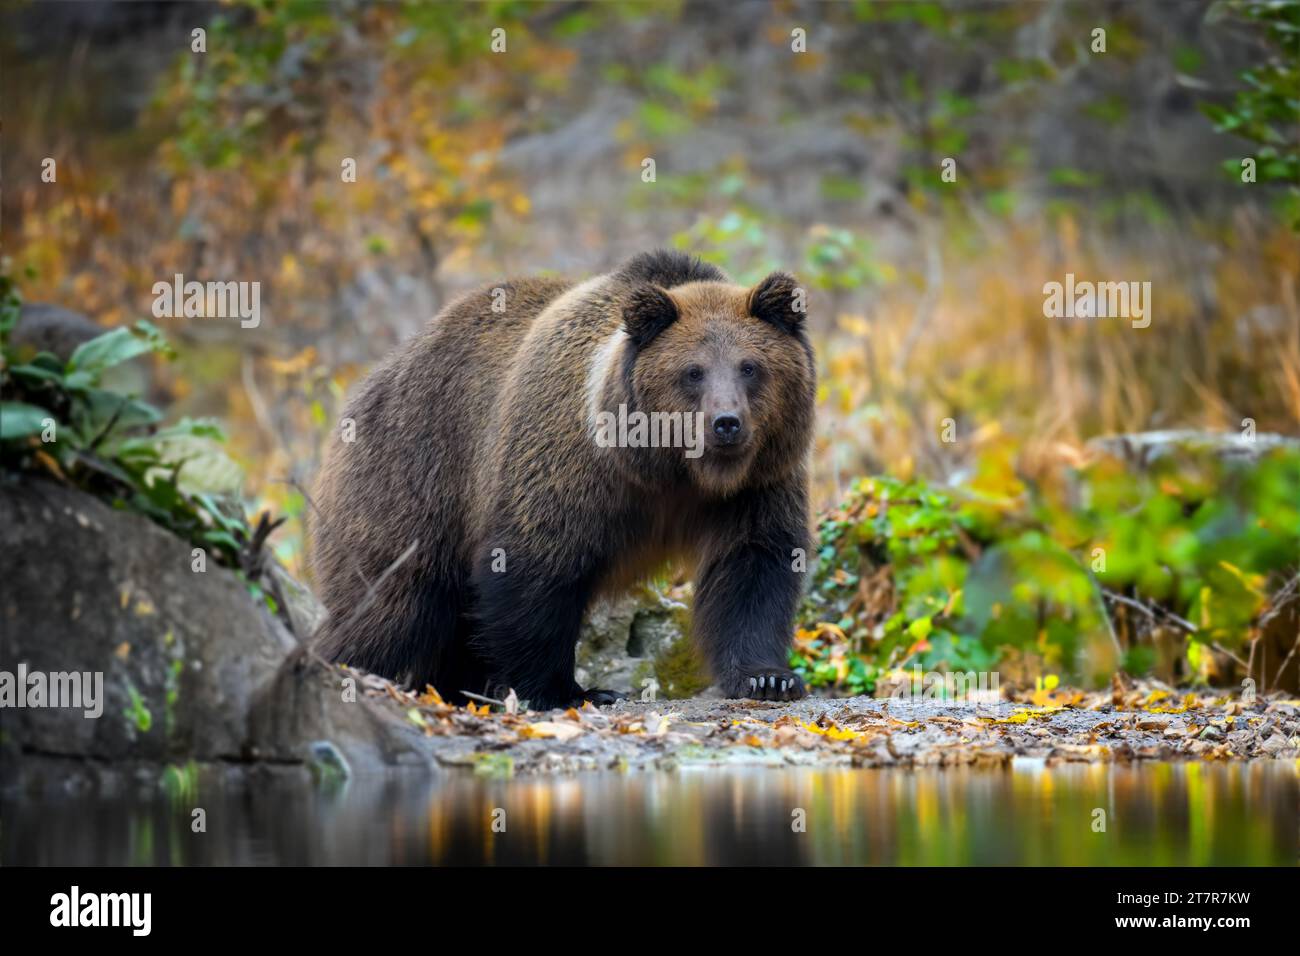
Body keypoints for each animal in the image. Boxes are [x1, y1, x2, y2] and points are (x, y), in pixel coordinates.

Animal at [311, 249, 815, 709]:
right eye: (693, 372)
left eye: (750, 367)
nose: (726, 423)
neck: (669, 471)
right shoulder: (568, 467)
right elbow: (537, 567)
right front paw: (569, 690)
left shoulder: (758, 482)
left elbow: (753, 564)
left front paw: (767, 677)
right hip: (411, 478)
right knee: (391, 604)